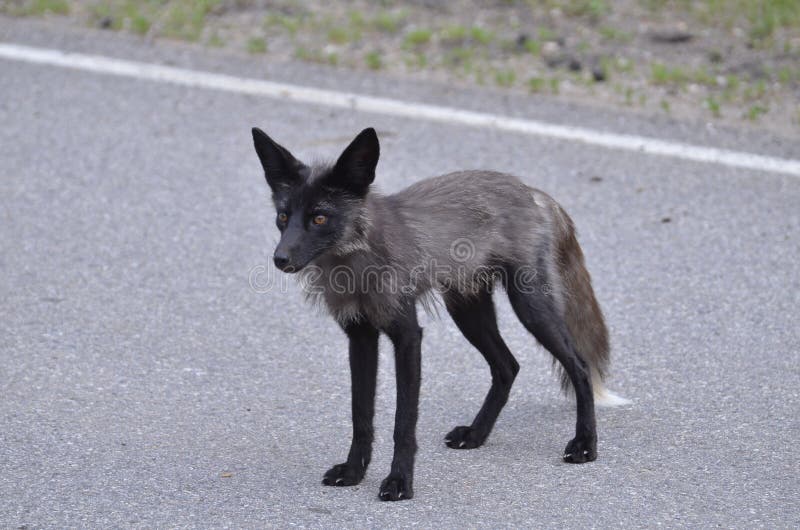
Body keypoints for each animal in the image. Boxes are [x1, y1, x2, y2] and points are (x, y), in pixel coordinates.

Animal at [251, 126, 627, 501]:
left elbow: (403, 422)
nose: (280, 259)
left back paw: (585, 444)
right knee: (508, 366)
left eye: (319, 217)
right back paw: (476, 434)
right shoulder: (360, 337)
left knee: (578, 366)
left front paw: (399, 481)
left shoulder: (407, 336)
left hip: (530, 307)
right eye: (283, 216)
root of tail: (530, 190)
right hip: (467, 311)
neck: (359, 264)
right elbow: (361, 416)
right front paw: (354, 472)